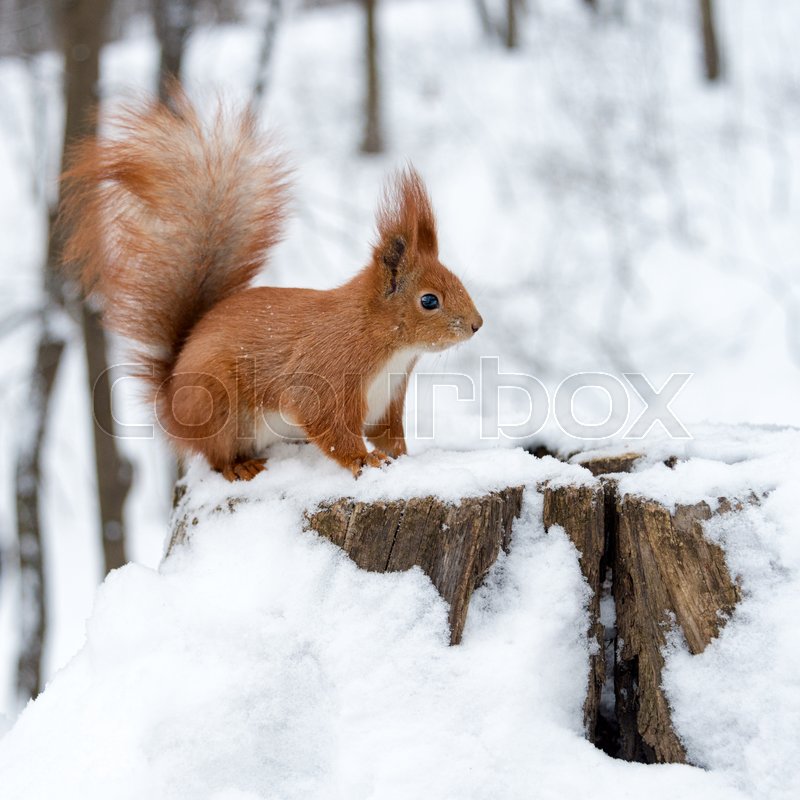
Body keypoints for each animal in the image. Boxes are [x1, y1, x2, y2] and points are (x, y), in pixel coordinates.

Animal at [60, 88, 483, 481]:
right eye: (429, 300)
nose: (477, 325)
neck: (388, 346)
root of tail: (173, 406)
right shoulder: (327, 373)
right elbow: (330, 428)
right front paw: (364, 460)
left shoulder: (388, 399)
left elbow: (389, 435)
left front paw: (402, 459)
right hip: (217, 404)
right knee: (215, 457)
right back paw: (240, 467)